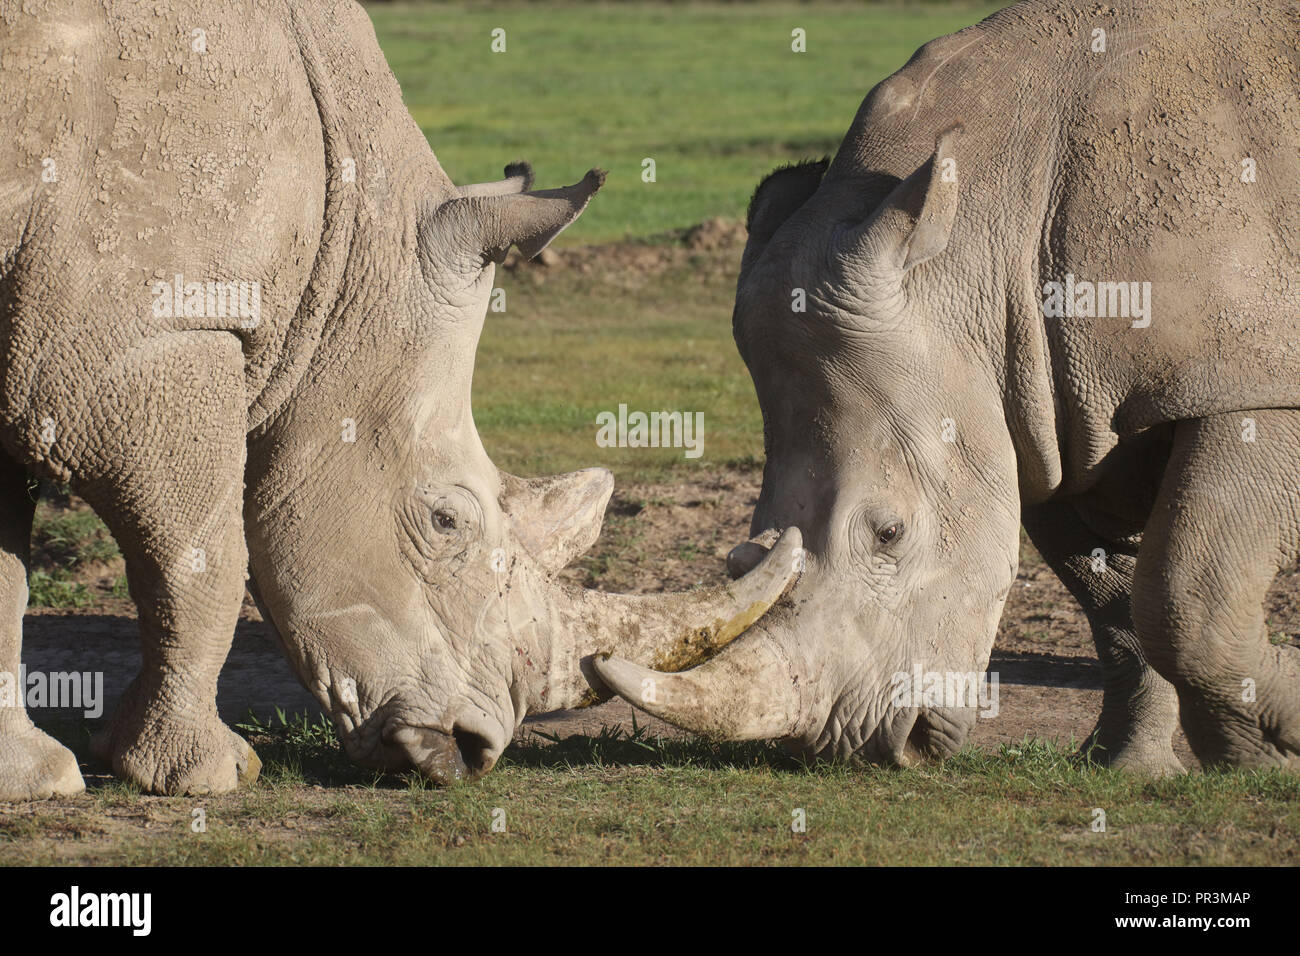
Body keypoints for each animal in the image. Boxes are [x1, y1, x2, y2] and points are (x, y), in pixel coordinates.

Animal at [0, 0, 801, 799]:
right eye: (446, 521)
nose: (474, 751)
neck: (343, 277)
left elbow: (10, 569)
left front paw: (31, 779)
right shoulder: (144, 339)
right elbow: (203, 560)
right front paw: (207, 775)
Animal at [597, 0, 1300, 772]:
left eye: (890, 534)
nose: (862, 747)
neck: (982, 251)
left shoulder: (1252, 387)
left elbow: (1186, 594)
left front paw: (1265, 757)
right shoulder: (1041, 417)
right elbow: (1114, 600)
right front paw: (1139, 768)